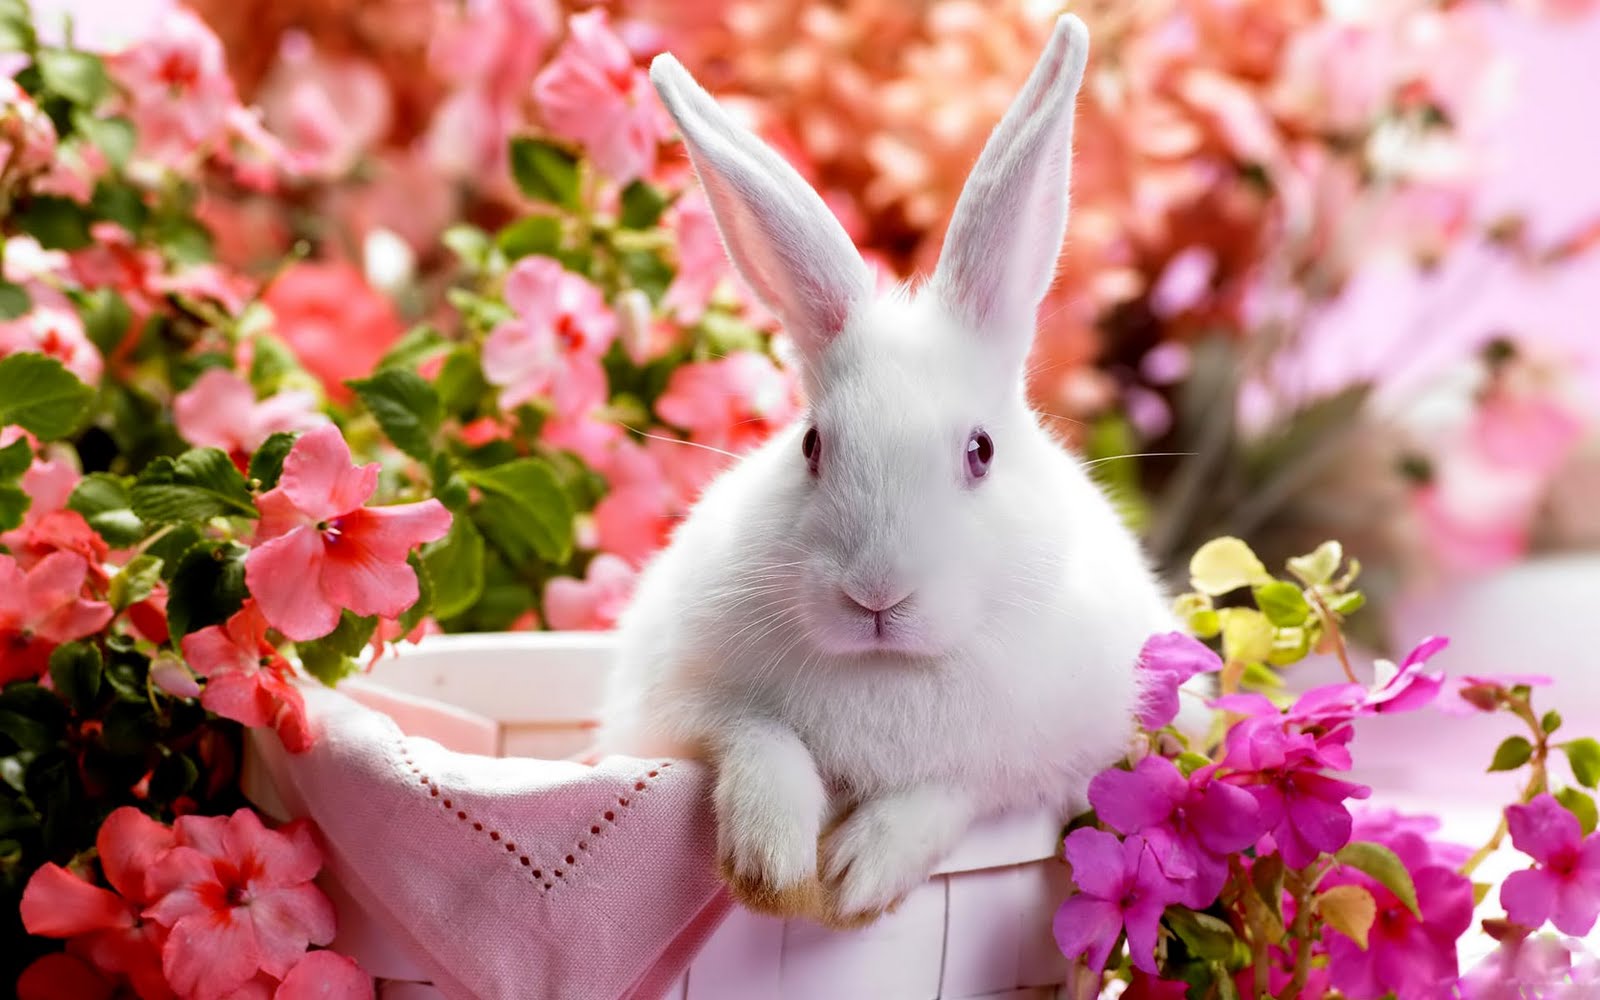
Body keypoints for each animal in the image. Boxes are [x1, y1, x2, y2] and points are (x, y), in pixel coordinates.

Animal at [596, 14, 1178, 927]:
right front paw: (772, 865)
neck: (887, 670)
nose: (876, 595)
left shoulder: (1040, 762)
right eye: (811, 445)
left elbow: (949, 791)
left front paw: (855, 877)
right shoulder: (678, 704)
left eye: (981, 452)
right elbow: (757, 738)